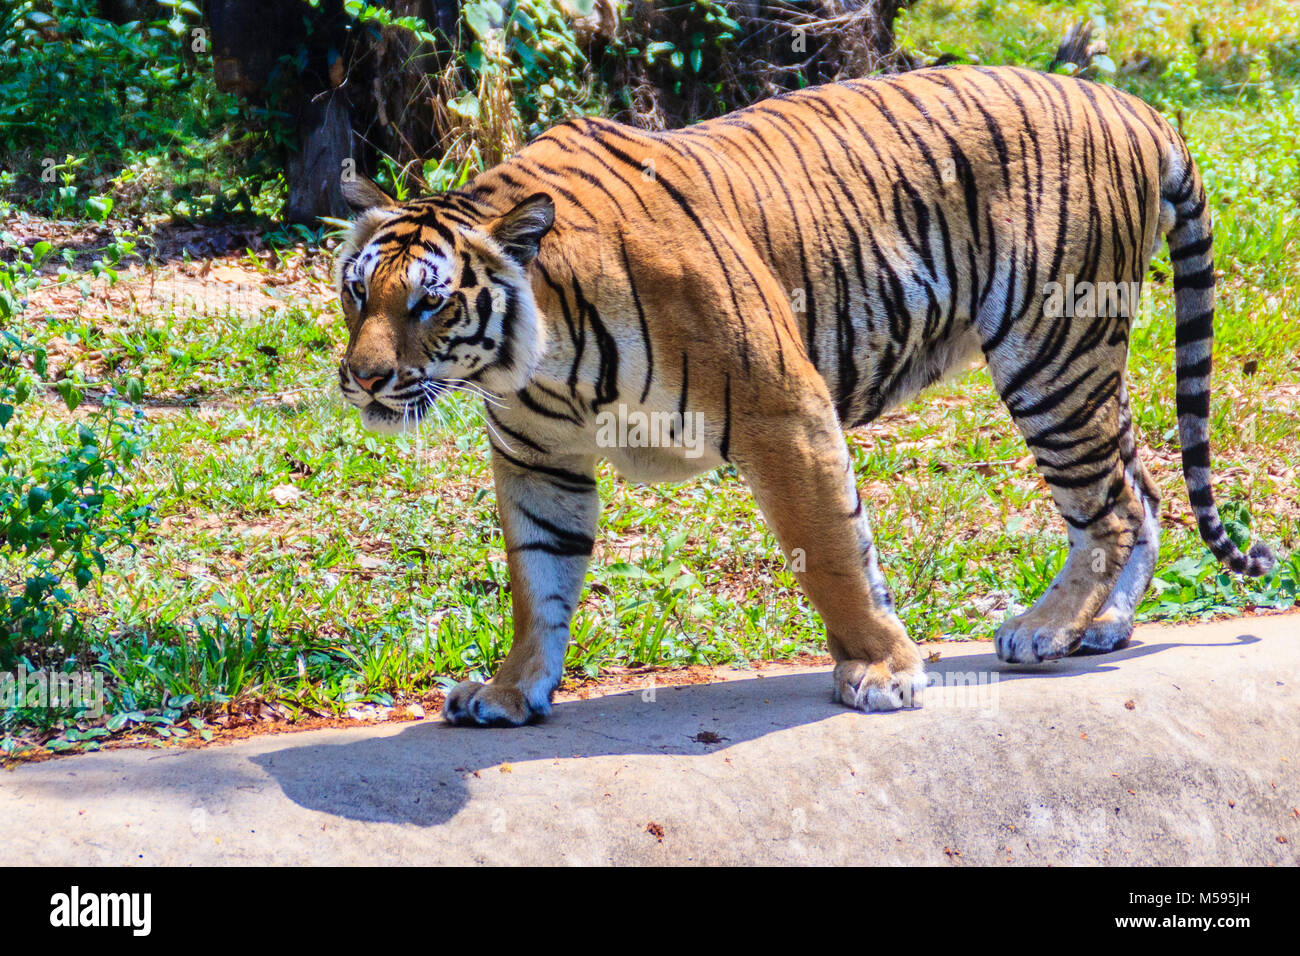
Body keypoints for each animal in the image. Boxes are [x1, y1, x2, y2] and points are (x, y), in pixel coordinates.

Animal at [334, 64, 1274, 727]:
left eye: (429, 301)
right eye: (357, 292)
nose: (362, 378)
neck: (539, 360)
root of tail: (1133, 105)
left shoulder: (780, 411)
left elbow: (830, 551)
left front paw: (882, 670)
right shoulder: (538, 461)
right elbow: (539, 581)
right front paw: (511, 690)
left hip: (1051, 354)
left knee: (1107, 509)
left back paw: (1045, 629)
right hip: (1082, 366)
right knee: (1140, 491)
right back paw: (1101, 628)